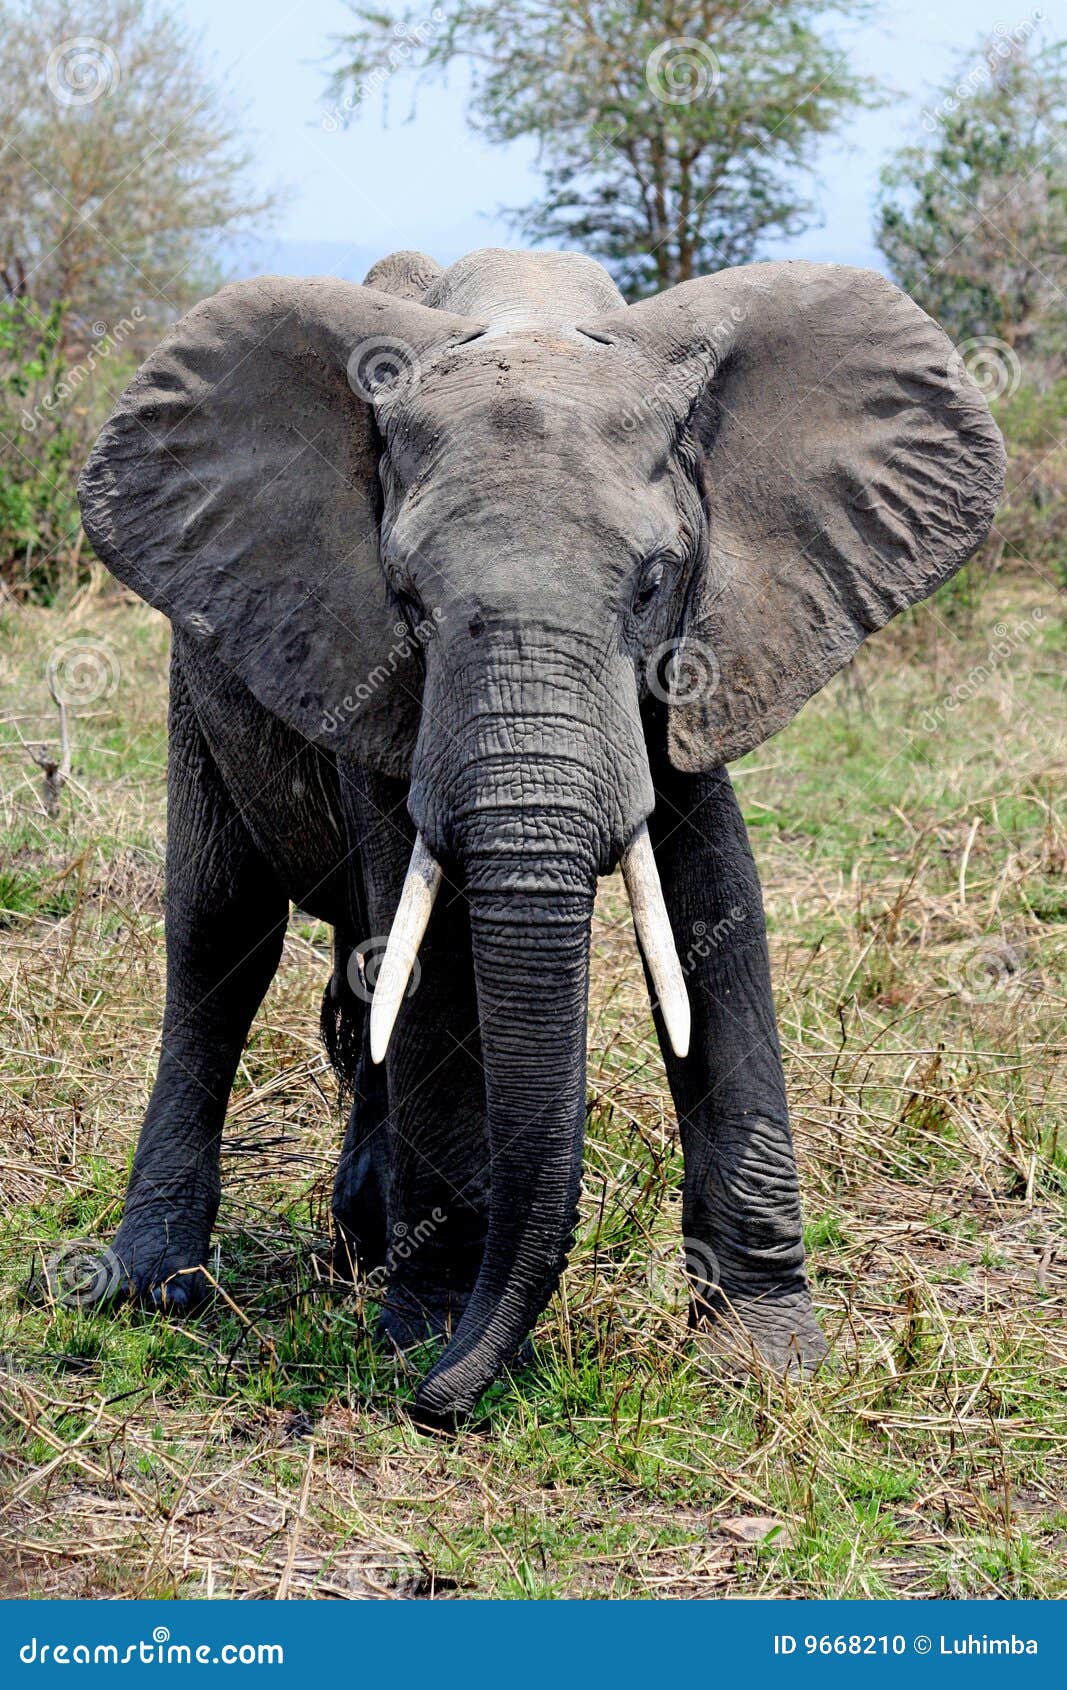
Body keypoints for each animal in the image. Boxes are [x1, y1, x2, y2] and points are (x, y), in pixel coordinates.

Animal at [77, 246, 1004, 1427]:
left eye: (652, 584)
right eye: (408, 600)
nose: (435, 1405)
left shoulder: (707, 652)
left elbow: (714, 913)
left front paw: (764, 1362)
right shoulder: (368, 669)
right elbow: (428, 961)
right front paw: (428, 1336)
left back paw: (358, 1247)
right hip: (197, 683)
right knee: (220, 940)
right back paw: (154, 1289)